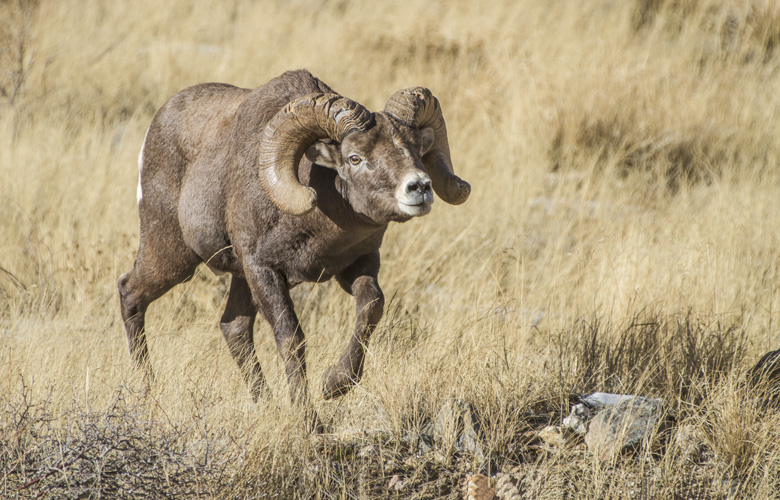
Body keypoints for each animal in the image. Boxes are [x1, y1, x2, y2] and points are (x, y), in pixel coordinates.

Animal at [118, 69, 470, 429]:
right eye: (355, 158)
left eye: (416, 149)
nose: (420, 187)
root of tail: (153, 132)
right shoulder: (264, 271)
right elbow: (291, 339)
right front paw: (309, 421)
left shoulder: (357, 264)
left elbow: (371, 306)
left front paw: (334, 384)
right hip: (172, 257)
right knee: (130, 292)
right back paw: (146, 392)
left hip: (235, 278)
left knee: (234, 328)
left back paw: (266, 404)